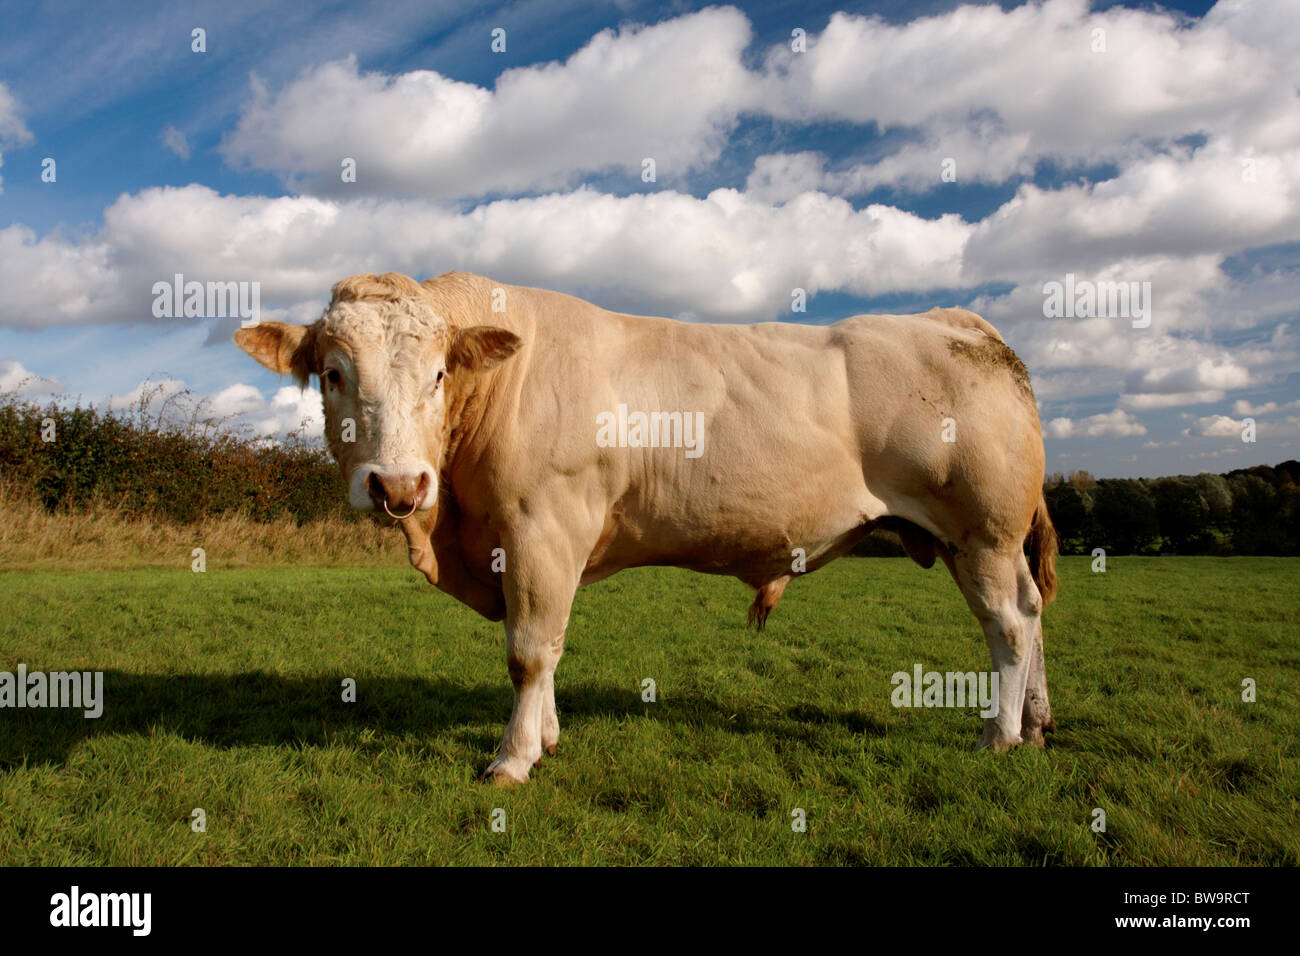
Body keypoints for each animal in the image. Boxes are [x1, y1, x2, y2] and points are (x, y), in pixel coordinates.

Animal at [234, 271, 1058, 784]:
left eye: (439, 374)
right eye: (333, 374)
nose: (398, 485)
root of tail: (956, 321)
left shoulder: (541, 527)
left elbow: (529, 651)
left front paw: (512, 760)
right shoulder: (535, 545)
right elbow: (552, 646)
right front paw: (548, 737)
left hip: (982, 530)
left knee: (1009, 625)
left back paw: (999, 734)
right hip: (980, 539)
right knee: (1031, 611)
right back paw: (1038, 723)